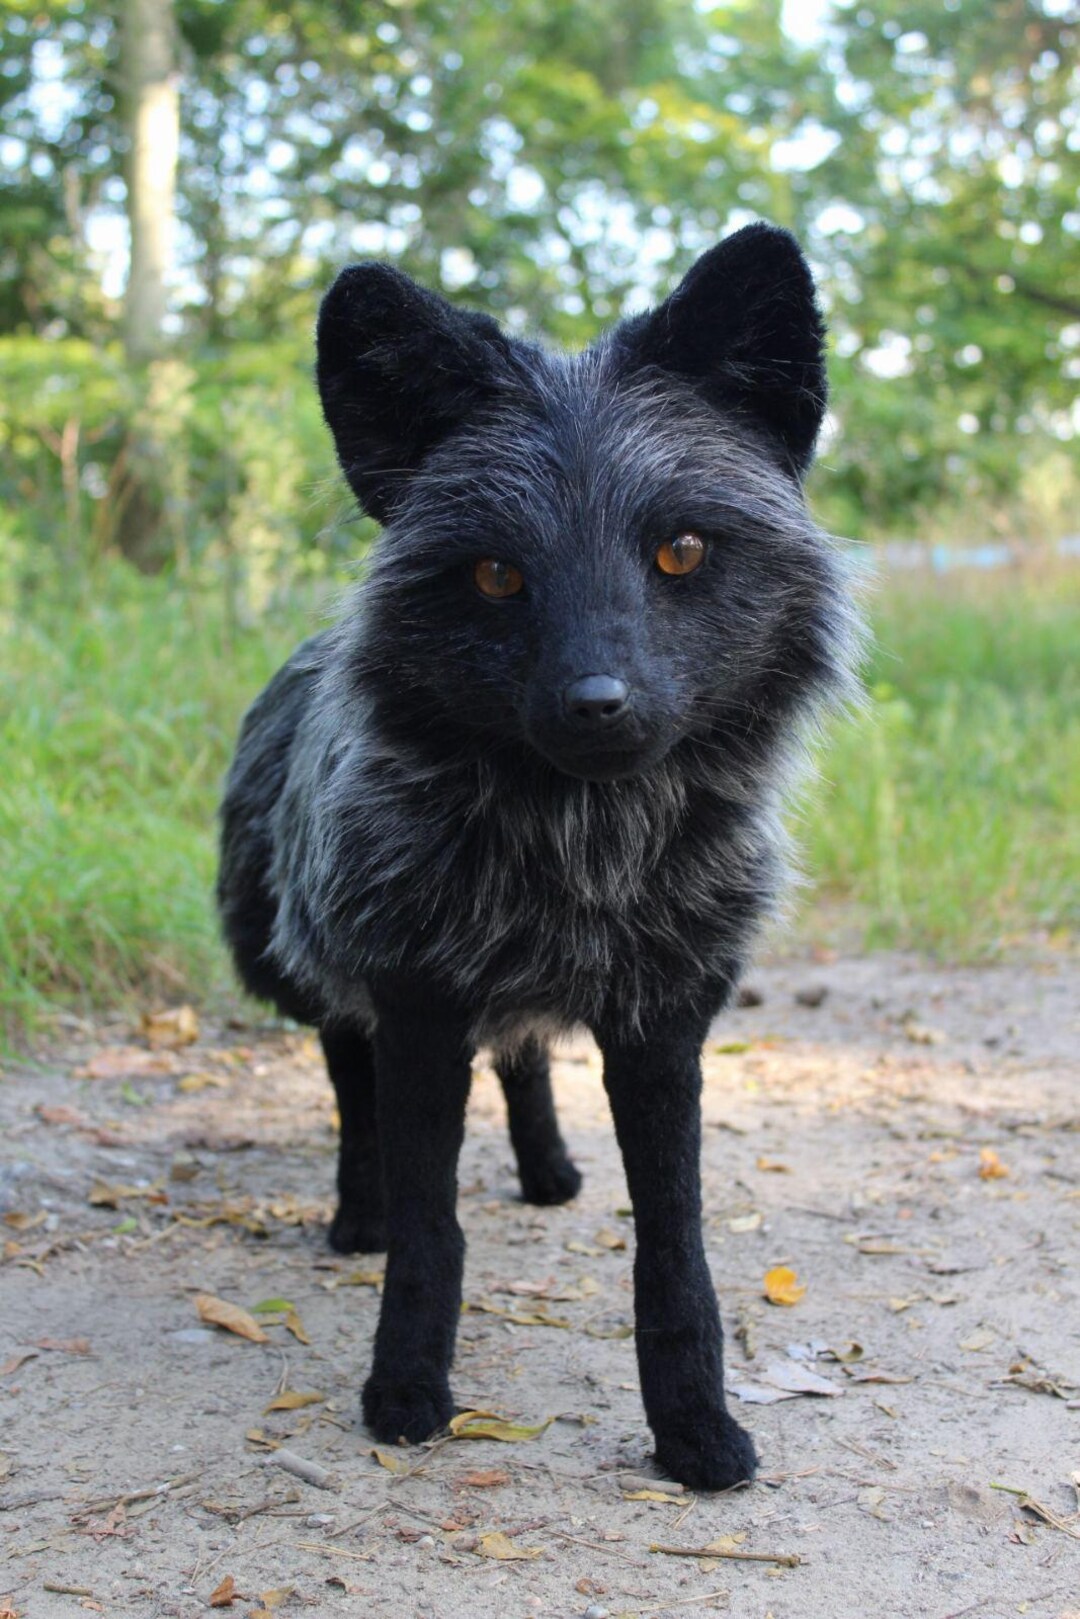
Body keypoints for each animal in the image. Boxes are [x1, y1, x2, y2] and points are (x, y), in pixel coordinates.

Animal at [217, 222, 860, 1489]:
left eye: (681, 551)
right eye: (498, 572)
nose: (596, 705)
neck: (582, 863)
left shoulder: (666, 1015)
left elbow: (674, 1252)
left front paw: (696, 1428)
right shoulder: (417, 998)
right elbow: (431, 1226)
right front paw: (405, 1389)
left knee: (520, 1057)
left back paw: (549, 1168)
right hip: (311, 961)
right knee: (347, 1076)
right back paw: (355, 1212)